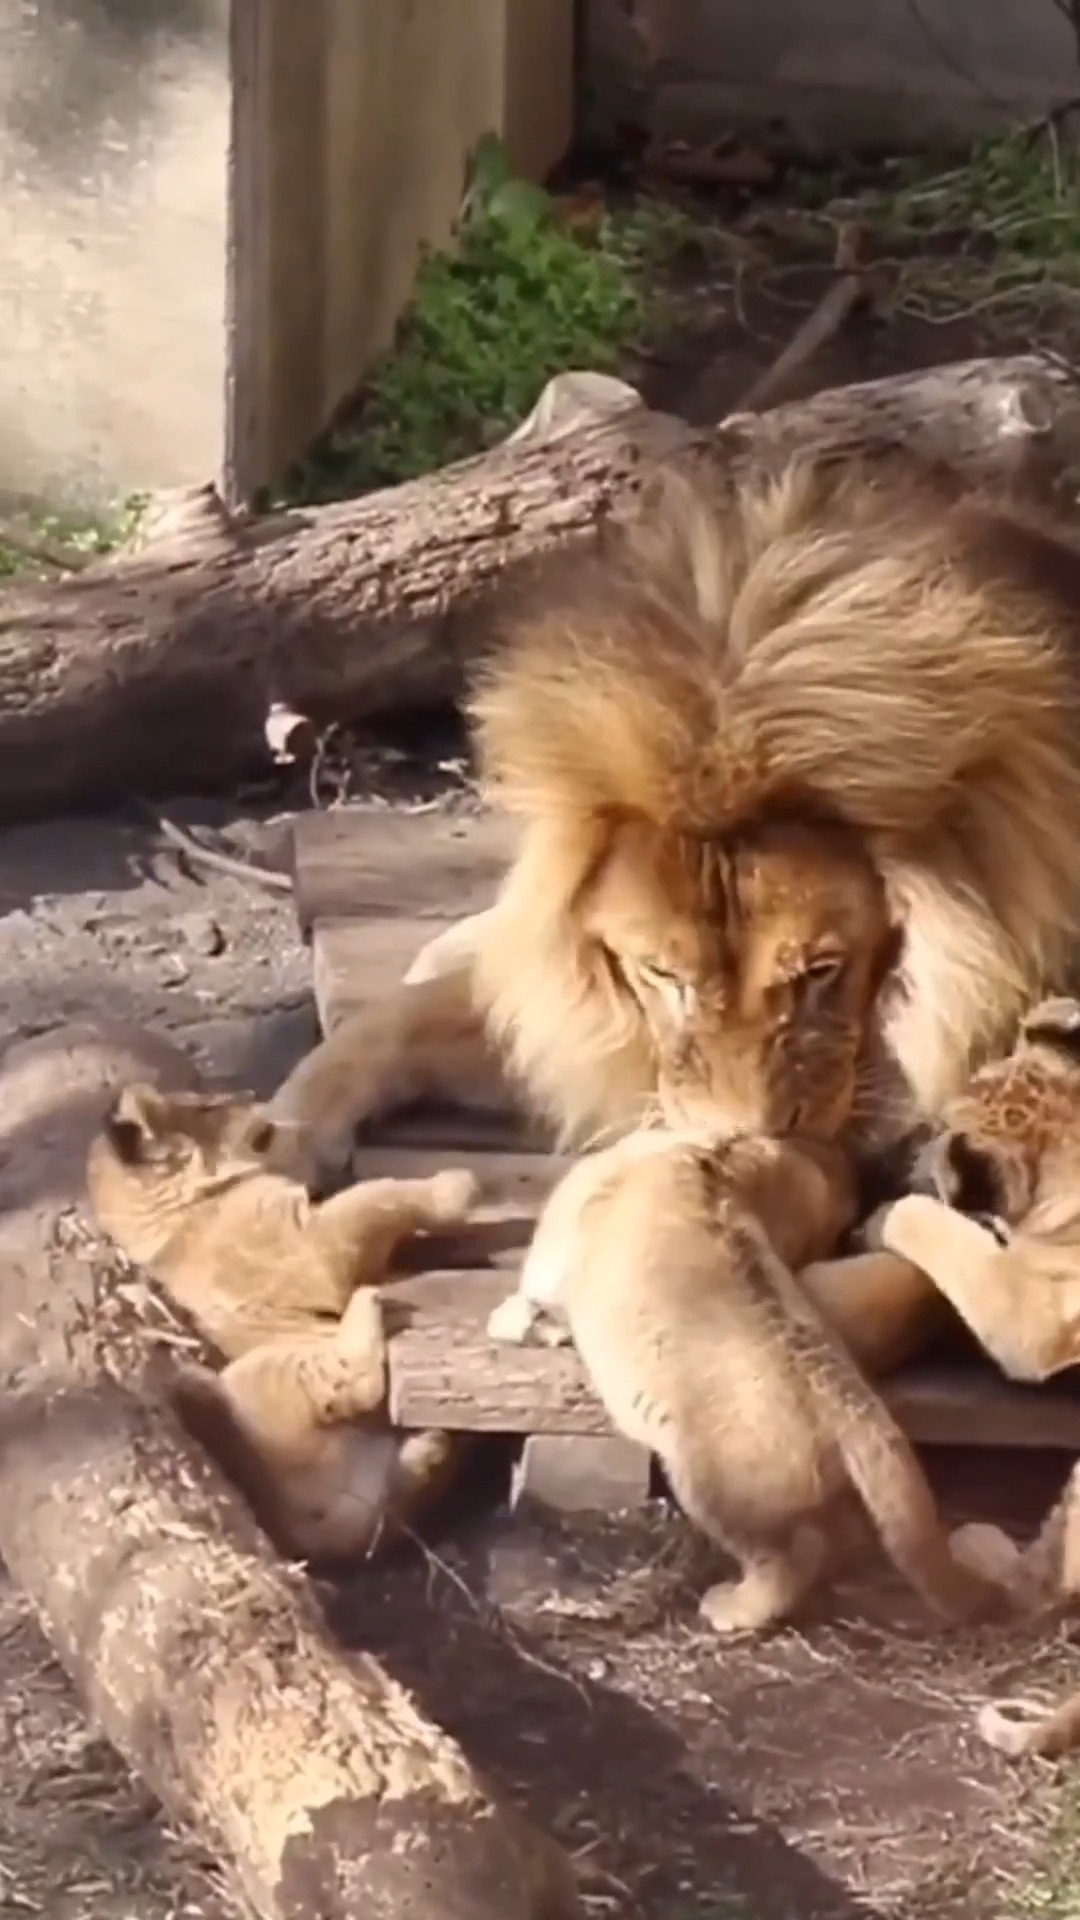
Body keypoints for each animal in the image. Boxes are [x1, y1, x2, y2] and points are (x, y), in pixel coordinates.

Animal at [86, 1082, 479, 1562]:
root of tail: (298, 1531)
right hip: (268, 1370)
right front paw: (456, 1186)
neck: (190, 1208)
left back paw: (432, 1443)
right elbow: (371, 1197)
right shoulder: (313, 1245)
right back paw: (369, 1309)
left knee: (400, 1498)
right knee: (354, 1383)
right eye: (208, 1106)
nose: (245, 1093)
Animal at [488, 1125, 1005, 1631]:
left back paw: (728, 1608)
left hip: (719, 1492)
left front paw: (516, 1321)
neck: (718, 1164)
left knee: (786, 1565)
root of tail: (851, 1406)